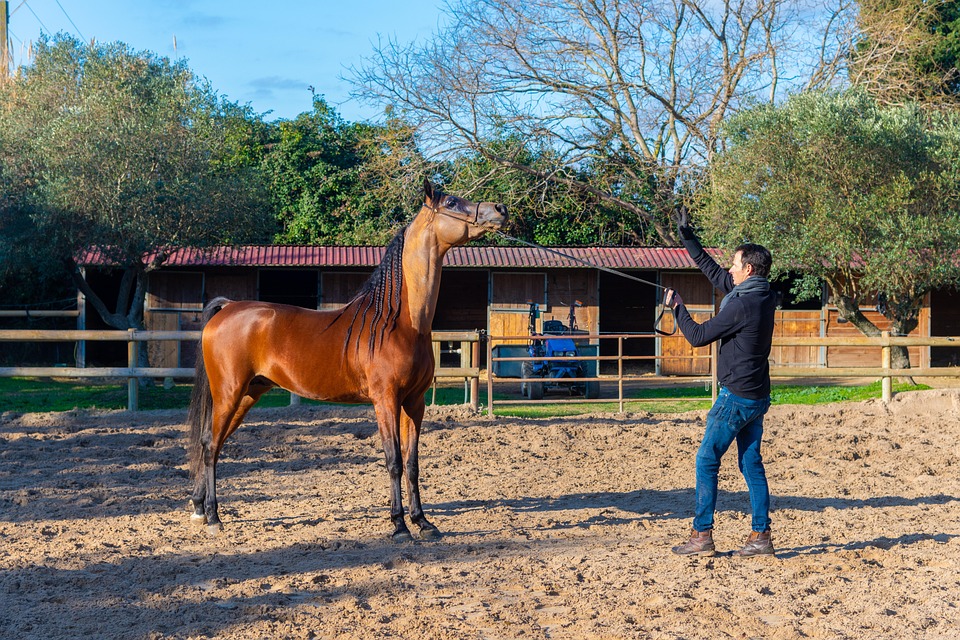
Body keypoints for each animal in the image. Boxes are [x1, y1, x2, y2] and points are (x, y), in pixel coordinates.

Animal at [187, 179, 508, 541]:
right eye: (452, 202)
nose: (500, 210)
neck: (400, 323)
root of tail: (227, 307)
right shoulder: (385, 401)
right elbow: (393, 461)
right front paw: (399, 526)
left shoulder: (414, 402)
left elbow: (412, 464)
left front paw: (423, 522)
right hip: (228, 393)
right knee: (210, 446)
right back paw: (214, 518)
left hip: (249, 393)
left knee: (212, 444)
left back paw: (200, 509)